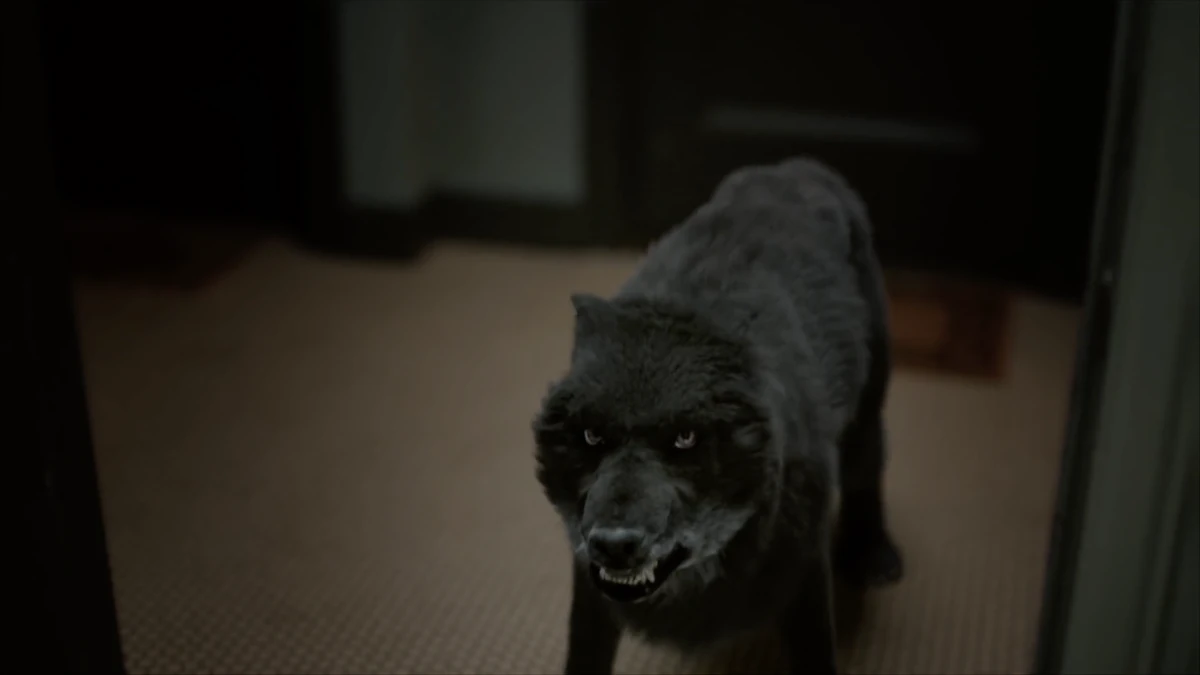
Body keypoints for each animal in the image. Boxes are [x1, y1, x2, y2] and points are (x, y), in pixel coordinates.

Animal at [532, 158, 904, 674]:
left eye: (686, 437)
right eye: (590, 435)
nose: (614, 543)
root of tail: (800, 166)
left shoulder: (804, 570)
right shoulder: (588, 586)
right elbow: (583, 653)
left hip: (867, 411)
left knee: (869, 470)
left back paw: (875, 556)